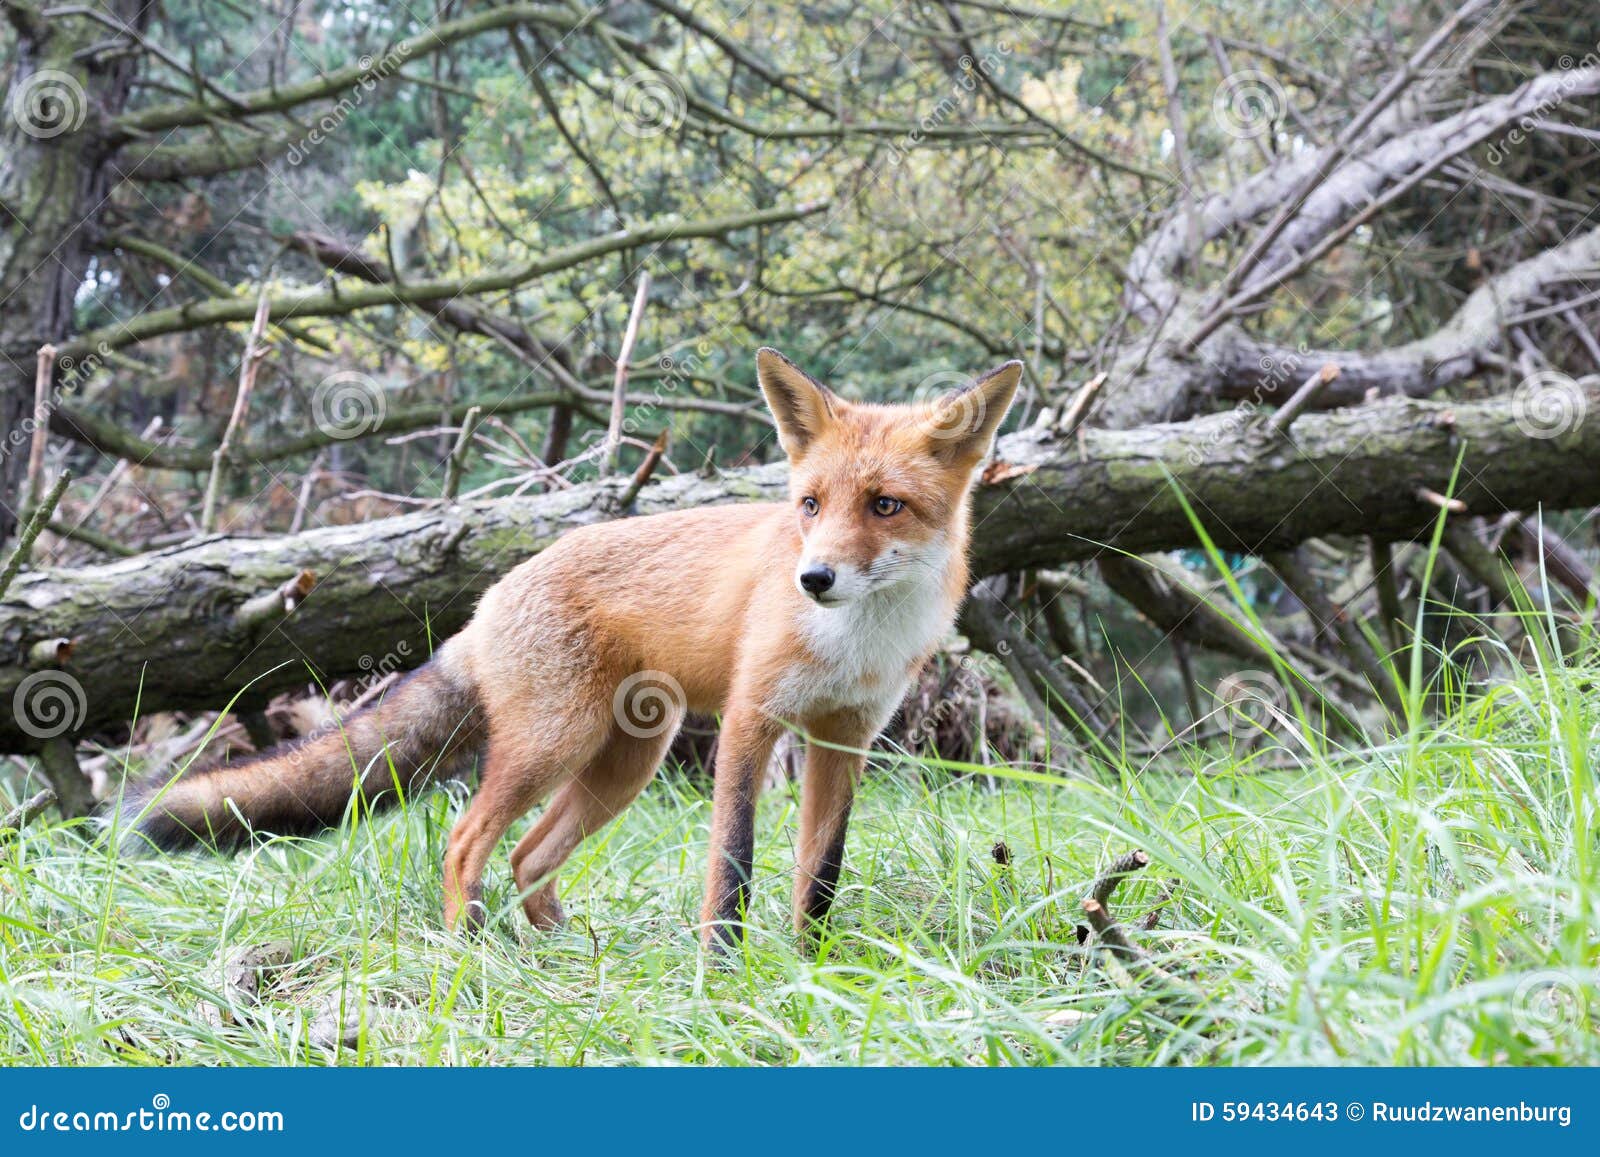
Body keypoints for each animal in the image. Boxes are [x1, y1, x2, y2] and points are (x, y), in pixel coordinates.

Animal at [122, 348, 1023, 949]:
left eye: (884, 505)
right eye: (809, 503)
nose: (814, 578)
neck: (856, 640)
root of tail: (486, 602)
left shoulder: (846, 736)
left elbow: (820, 874)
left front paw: (812, 966)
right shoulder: (750, 720)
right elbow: (732, 863)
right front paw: (723, 970)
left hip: (623, 762)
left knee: (527, 856)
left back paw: (562, 950)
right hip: (557, 744)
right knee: (467, 841)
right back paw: (470, 949)